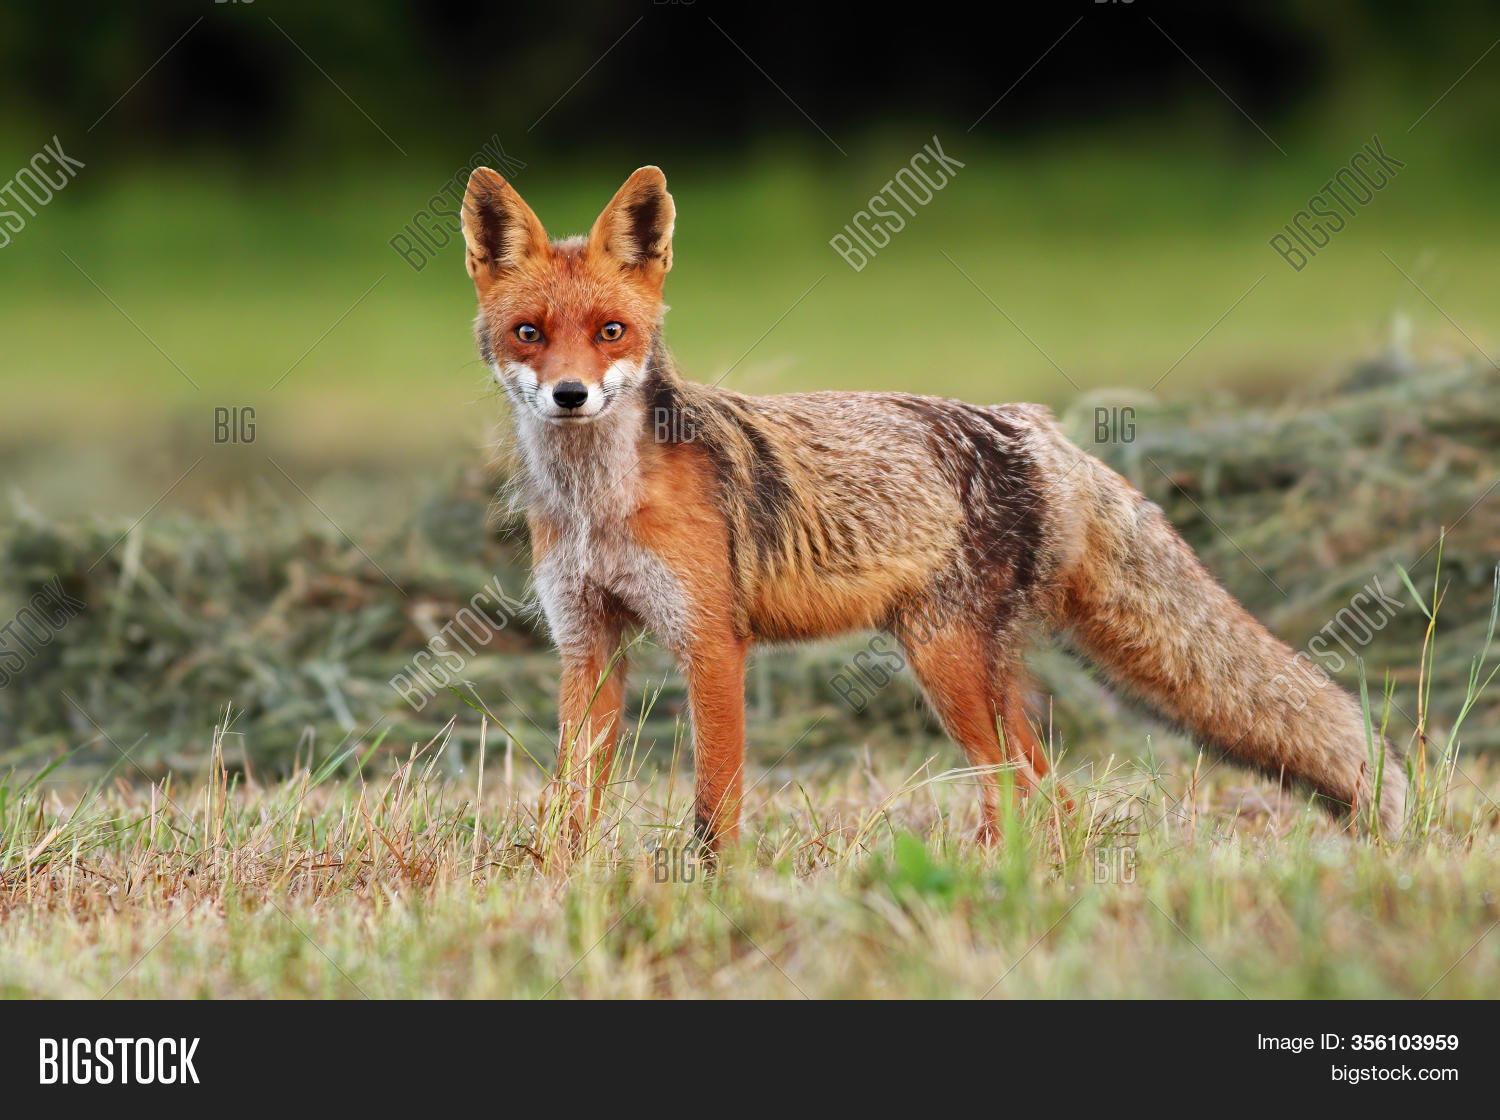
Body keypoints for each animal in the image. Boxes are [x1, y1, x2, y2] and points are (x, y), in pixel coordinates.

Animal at [458, 164, 1407, 854]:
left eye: (612, 332)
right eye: (529, 335)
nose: (572, 396)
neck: (599, 506)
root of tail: (1037, 428)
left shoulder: (712, 643)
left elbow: (714, 800)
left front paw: (708, 887)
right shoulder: (589, 644)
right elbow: (572, 795)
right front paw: (561, 877)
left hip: (947, 666)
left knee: (1030, 793)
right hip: (969, 675)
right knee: (1043, 795)